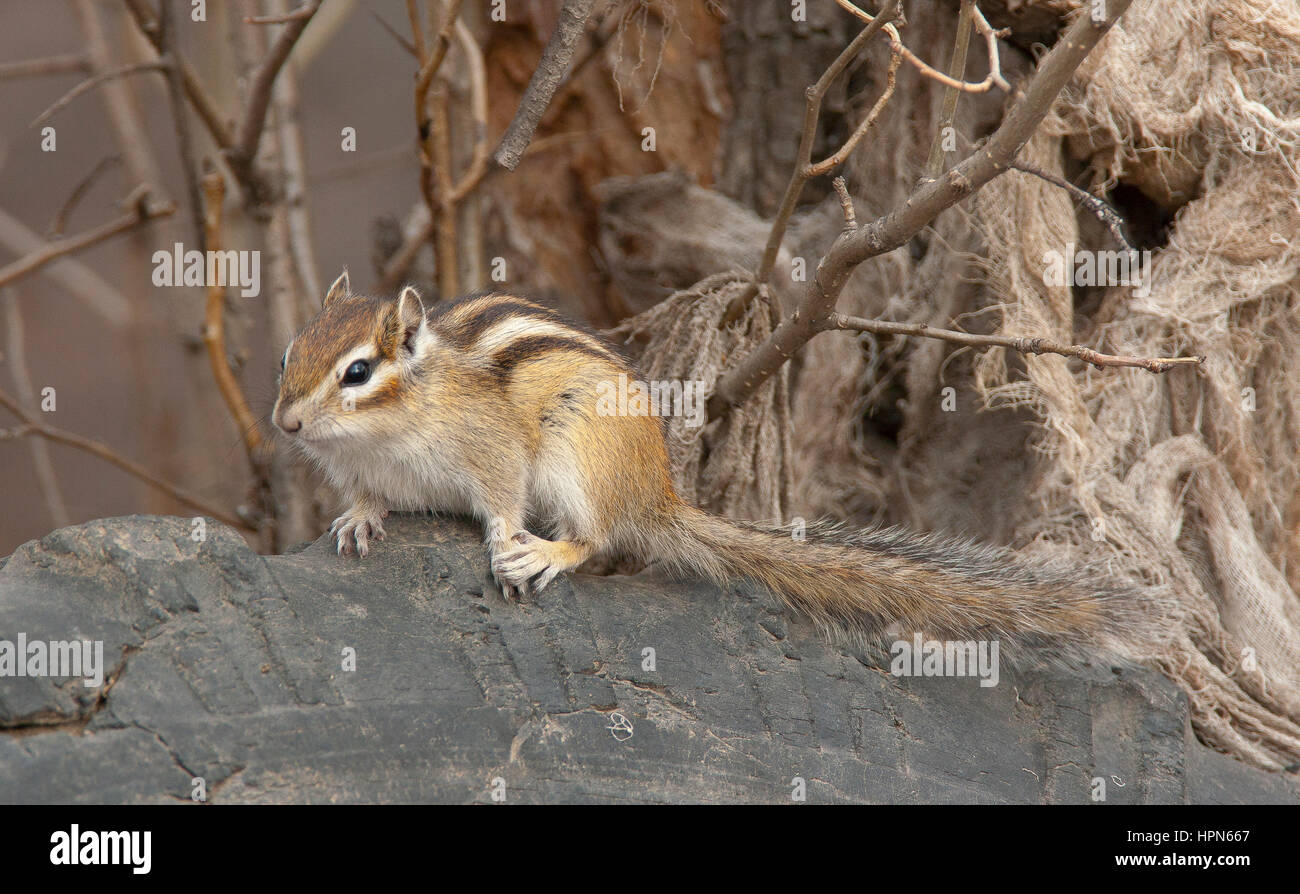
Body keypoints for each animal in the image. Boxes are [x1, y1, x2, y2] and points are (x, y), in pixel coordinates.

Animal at [272, 271, 1145, 663]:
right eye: (288, 355)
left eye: (356, 372)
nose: (285, 423)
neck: (385, 433)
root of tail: (658, 494)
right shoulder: (362, 468)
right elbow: (365, 497)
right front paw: (358, 520)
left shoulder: (492, 452)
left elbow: (502, 500)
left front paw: (508, 543)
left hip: (581, 456)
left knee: (601, 537)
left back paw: (550, 551)